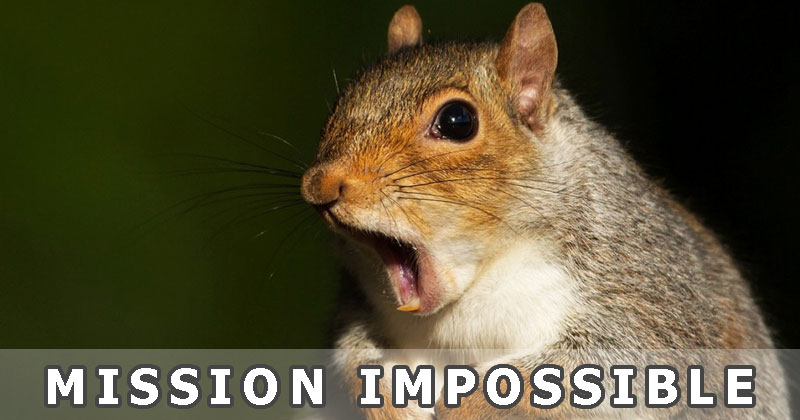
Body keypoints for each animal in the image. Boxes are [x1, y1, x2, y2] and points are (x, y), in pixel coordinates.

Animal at [299, 4, 789, 419]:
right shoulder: (359, 307)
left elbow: (608, 362)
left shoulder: (644, 287)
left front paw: (467, 405)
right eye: (340, 104)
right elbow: (353, 355)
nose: (319, 185)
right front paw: (386, 398)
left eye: (457, 121)